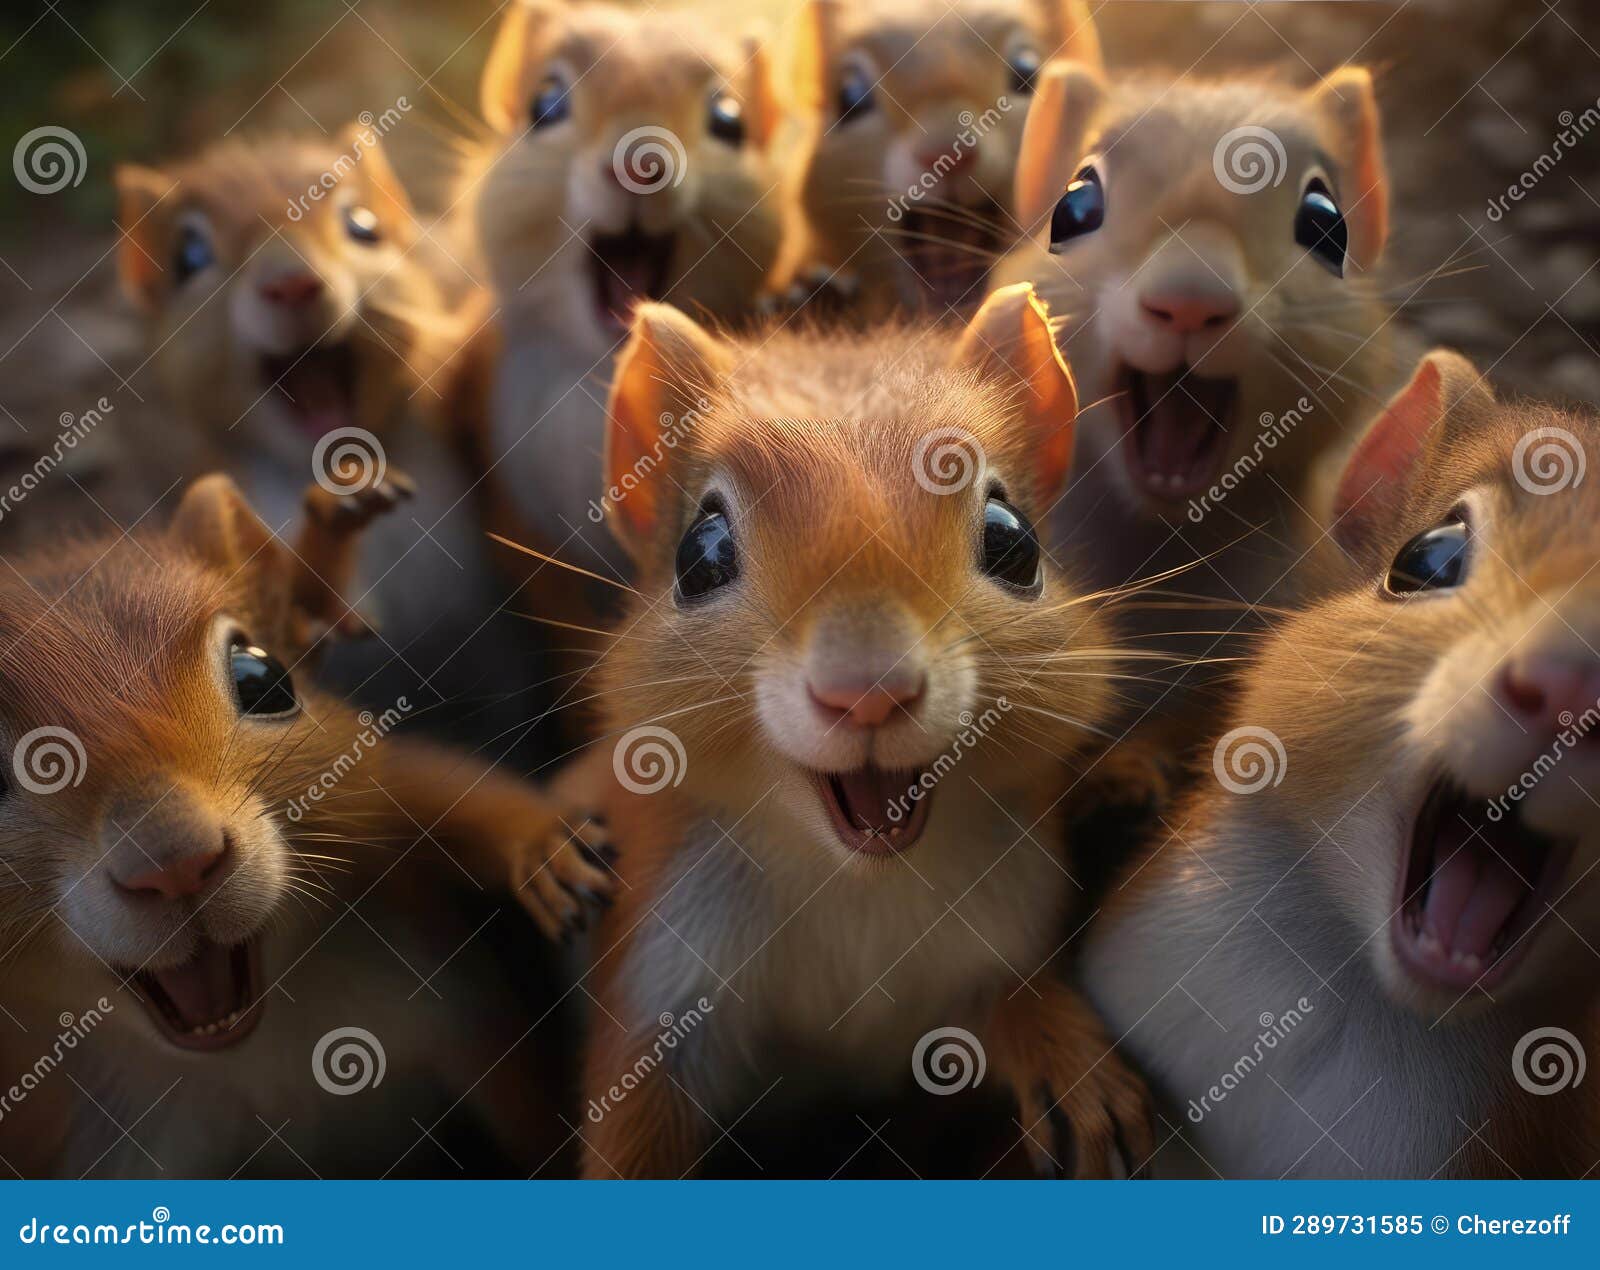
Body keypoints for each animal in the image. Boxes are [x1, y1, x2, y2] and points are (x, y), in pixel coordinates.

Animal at [0, 471, 613, 1177]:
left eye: (264, 680)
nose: (175, 862)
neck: (258, 1051)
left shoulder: (372, 801)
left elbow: (441, 792)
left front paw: (541, 843)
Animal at [531, 282, 1152, 1178]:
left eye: (1014, 542)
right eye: (700, 554)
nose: (868, 692)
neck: (855, 882)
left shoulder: (1004, 928)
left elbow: (1013, 995)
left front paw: (1073, 1067)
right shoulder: (661, 971)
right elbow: (637, 1126)